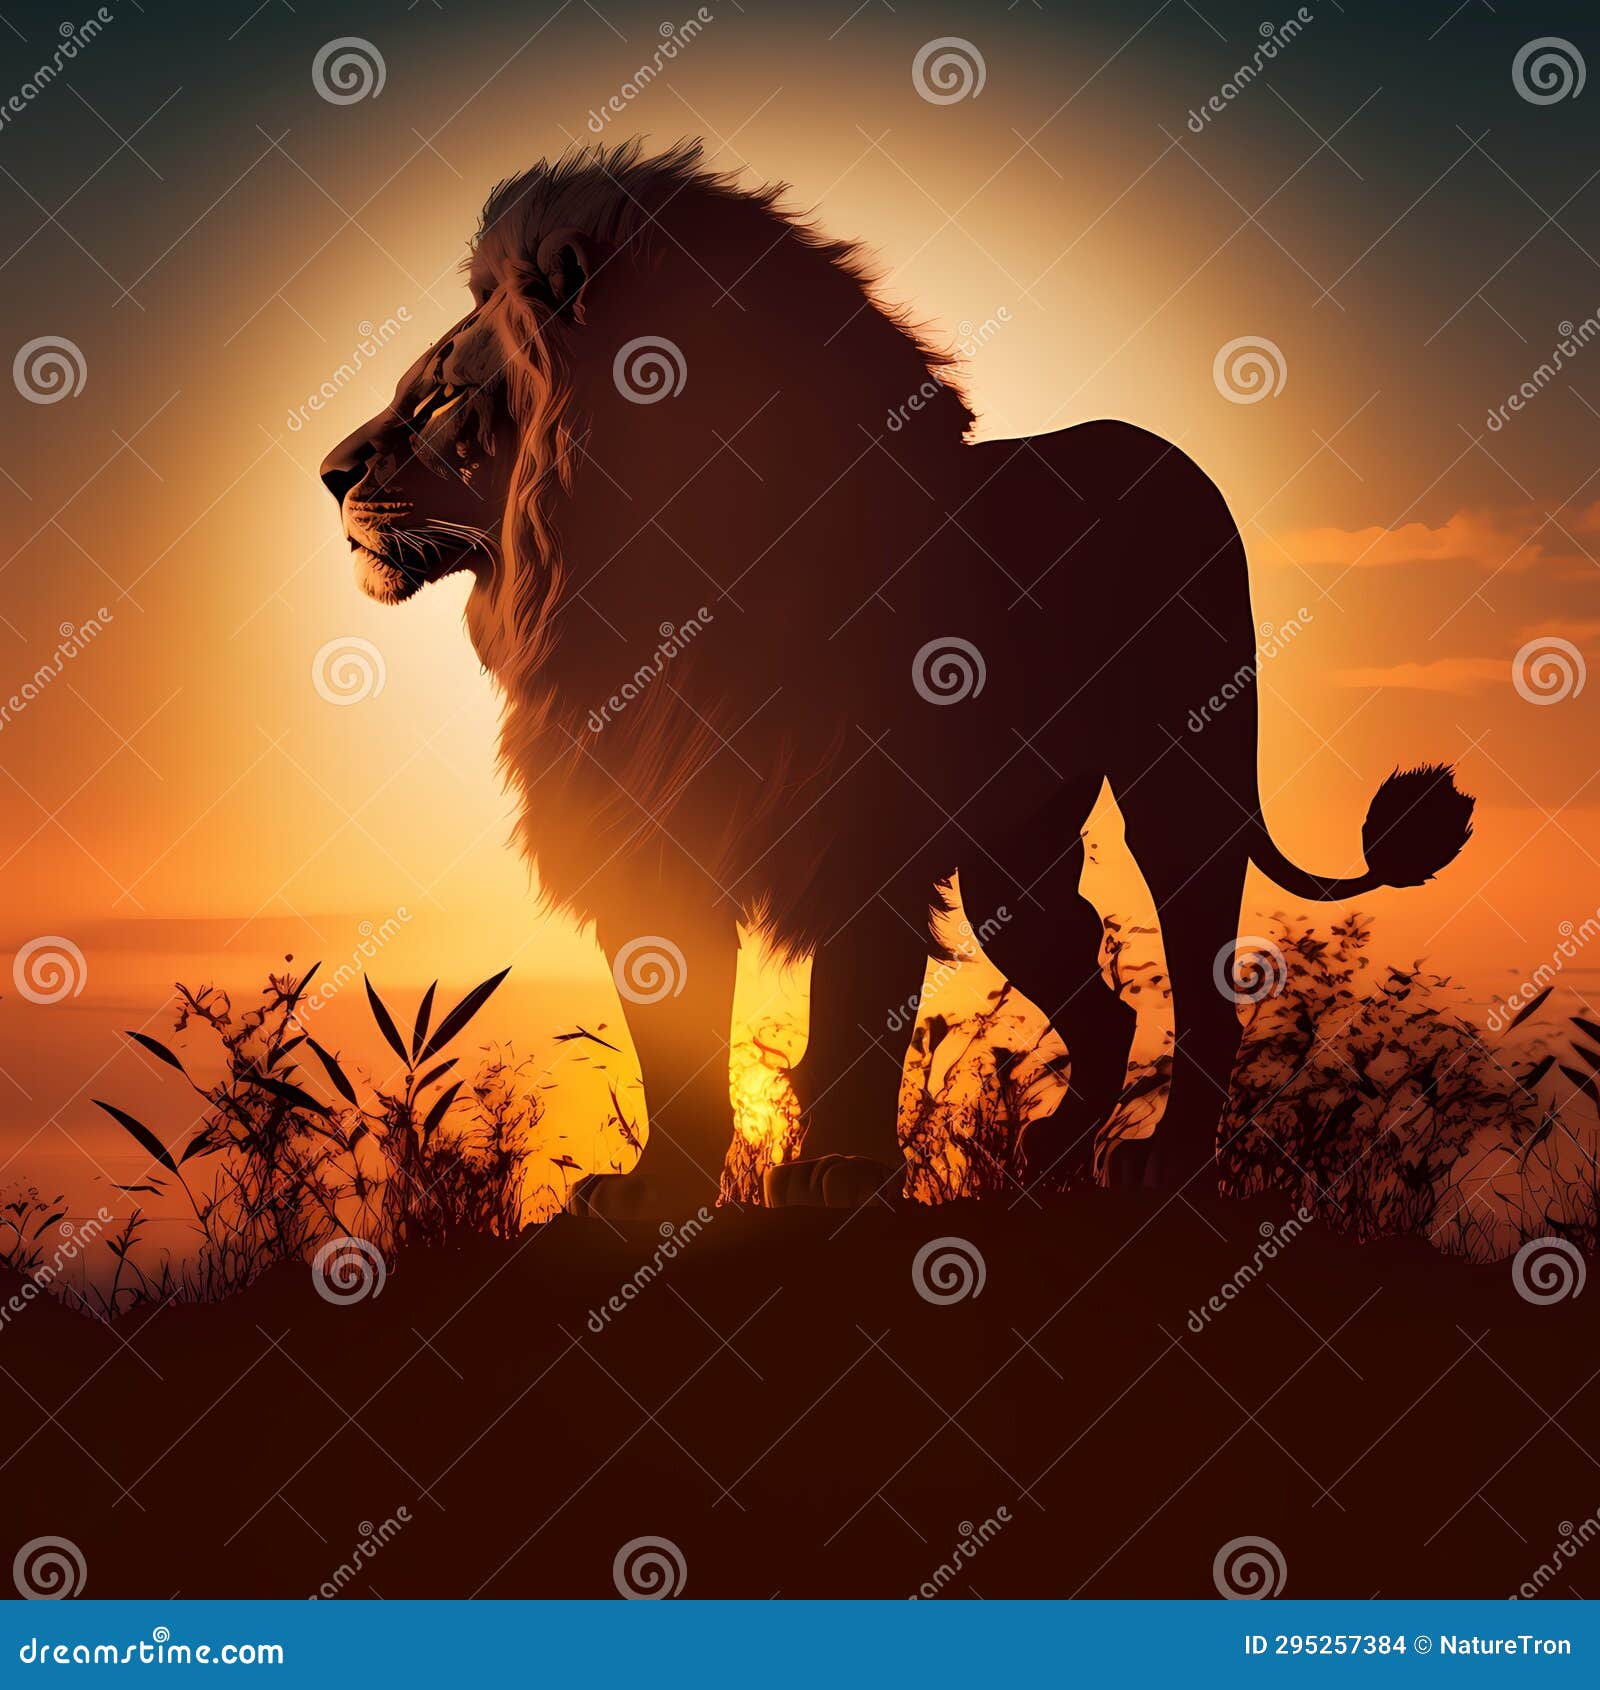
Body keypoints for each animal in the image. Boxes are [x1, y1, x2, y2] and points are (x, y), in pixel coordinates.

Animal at [319, 140, 1473, 1216]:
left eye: (437, 400)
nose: (328, 475)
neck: (664, 579)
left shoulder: (865, 832)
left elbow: (856, 1010)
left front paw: (843, 1171)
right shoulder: (647, 833)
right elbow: (675, 1037)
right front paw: (661, 1189)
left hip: (1183, 781)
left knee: (1202, 973)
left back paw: (1167, 1161)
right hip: (1014, 859)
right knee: (1099, 986)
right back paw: (1051, 1154)